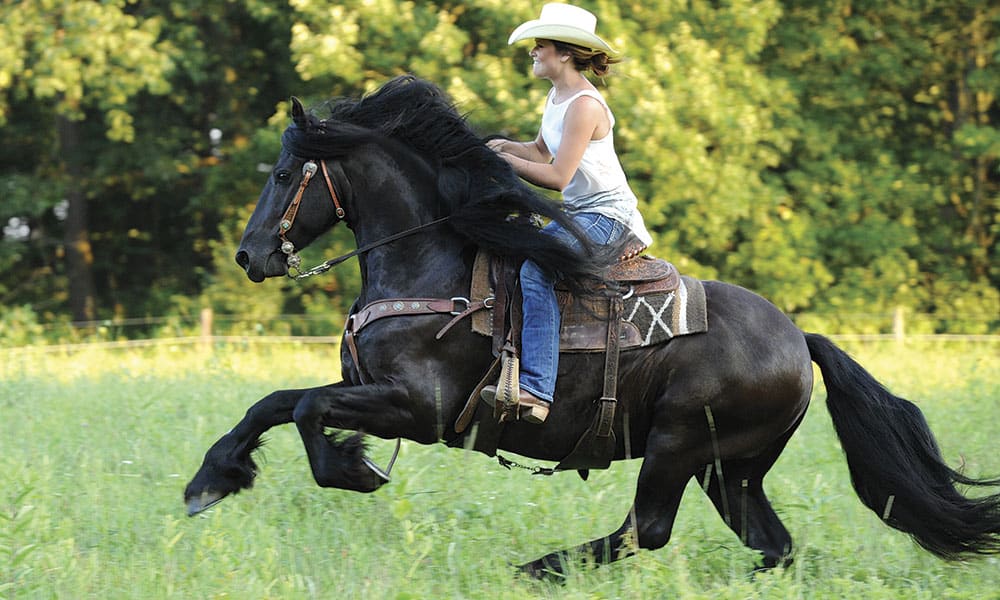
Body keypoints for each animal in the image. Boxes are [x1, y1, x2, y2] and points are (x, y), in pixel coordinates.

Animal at [185, 75, 1000, 578]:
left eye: (284, 174)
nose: (250, 254)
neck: (428, 266)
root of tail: (802, 342)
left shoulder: (420, 409)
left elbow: (305, 408)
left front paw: (351, 468)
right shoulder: (369, 388)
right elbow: (273, 403)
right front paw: (210, 480)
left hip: (678, 447)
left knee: (648, 529)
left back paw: (535, 568)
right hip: (730, 468)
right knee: (771, 545)